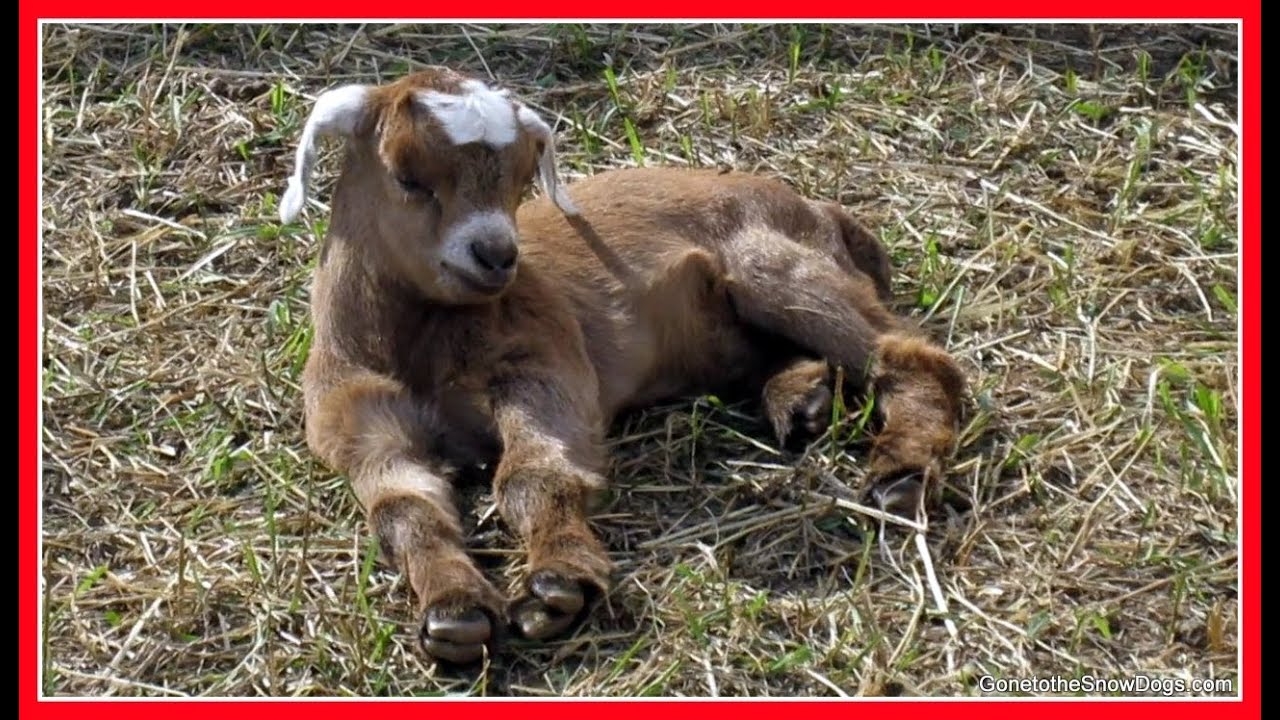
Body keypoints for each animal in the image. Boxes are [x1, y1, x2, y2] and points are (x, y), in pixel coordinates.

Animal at [278, 67, 966, 665]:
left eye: (522, 178)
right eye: (407, 177)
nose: (497, 255)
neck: (423, 346)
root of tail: (824, 211)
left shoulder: (542, 363)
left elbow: (534, 475)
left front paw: (557, 588)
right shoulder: (357, 419)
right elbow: (405, 509)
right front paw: (455, 614)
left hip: (775, 260)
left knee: (908, 353)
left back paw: (900, 471)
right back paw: (802, 400)